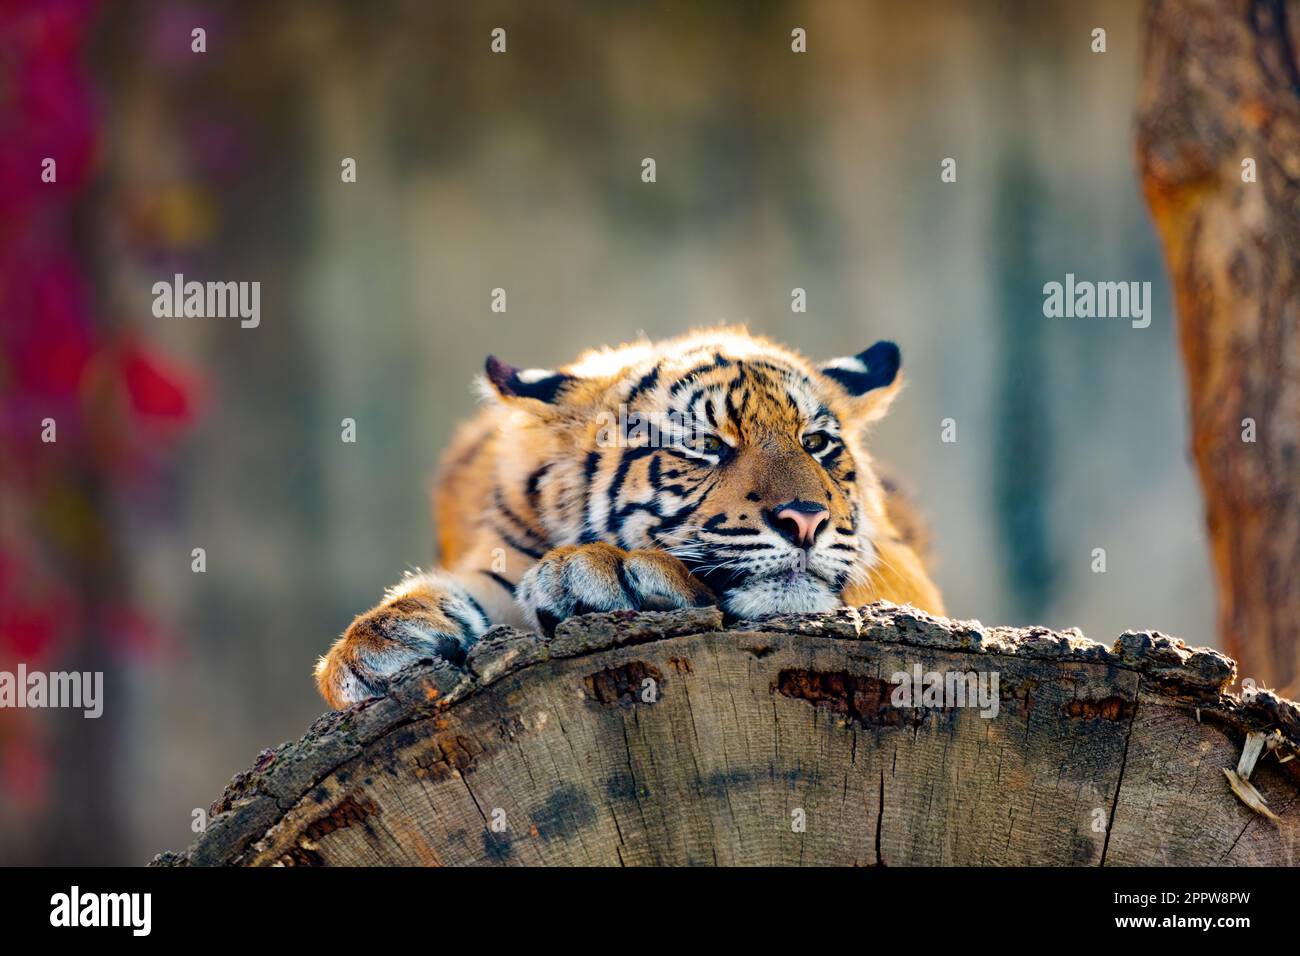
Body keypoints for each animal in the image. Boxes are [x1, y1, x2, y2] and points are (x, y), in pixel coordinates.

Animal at [314, 327, 945, 709]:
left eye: (816, 443)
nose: (807, 519)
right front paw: (374, 646)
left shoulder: (902, 573)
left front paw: (600, 571)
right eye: (706, 445)